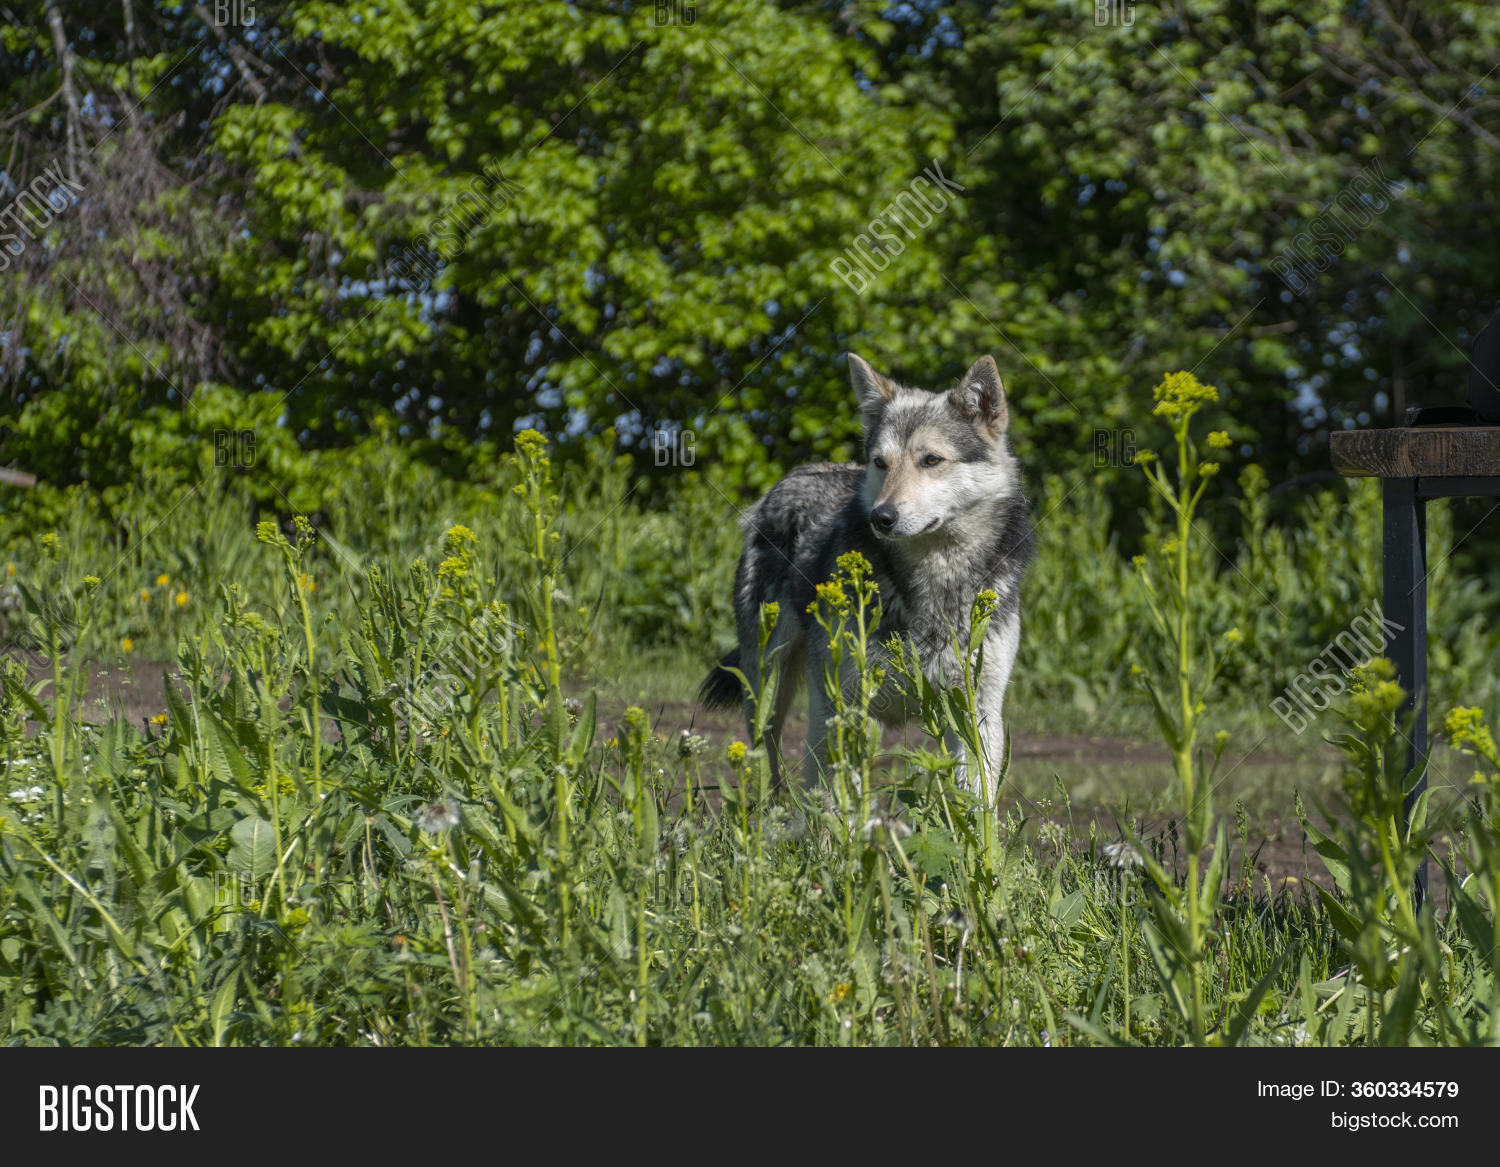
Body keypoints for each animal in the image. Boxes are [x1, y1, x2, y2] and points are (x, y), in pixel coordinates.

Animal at [699, 353, 1033, 802]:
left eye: (931, 460)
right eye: (880, 463)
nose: (881, 517)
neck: (935, 583)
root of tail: (788, 479)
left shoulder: (977, 711)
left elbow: (977, 804)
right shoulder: (841, 704)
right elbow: (834, 798)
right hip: (769, 681)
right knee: (765, 755)